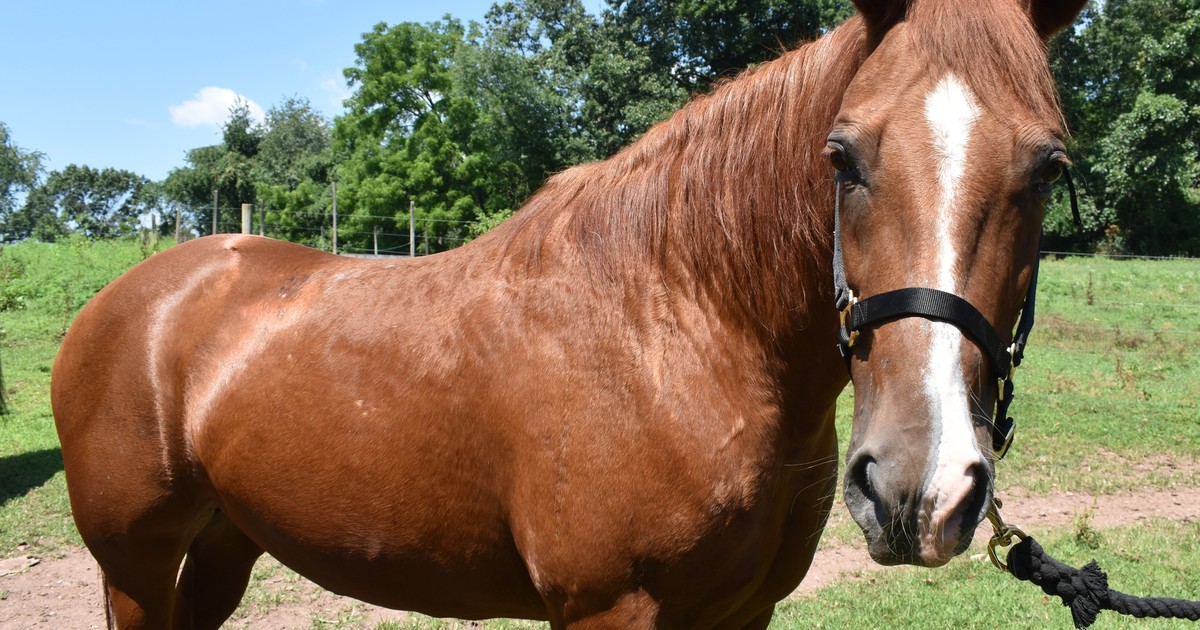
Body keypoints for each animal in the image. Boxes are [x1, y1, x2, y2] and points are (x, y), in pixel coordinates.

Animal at [51, 0, 1086, 627]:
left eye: (1048, 169)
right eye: (842, 156)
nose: (918, 488)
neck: (676, 329)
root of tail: (122, 303)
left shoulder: (740, 611)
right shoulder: (608, 609)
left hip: (225, 542)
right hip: (133, 565)